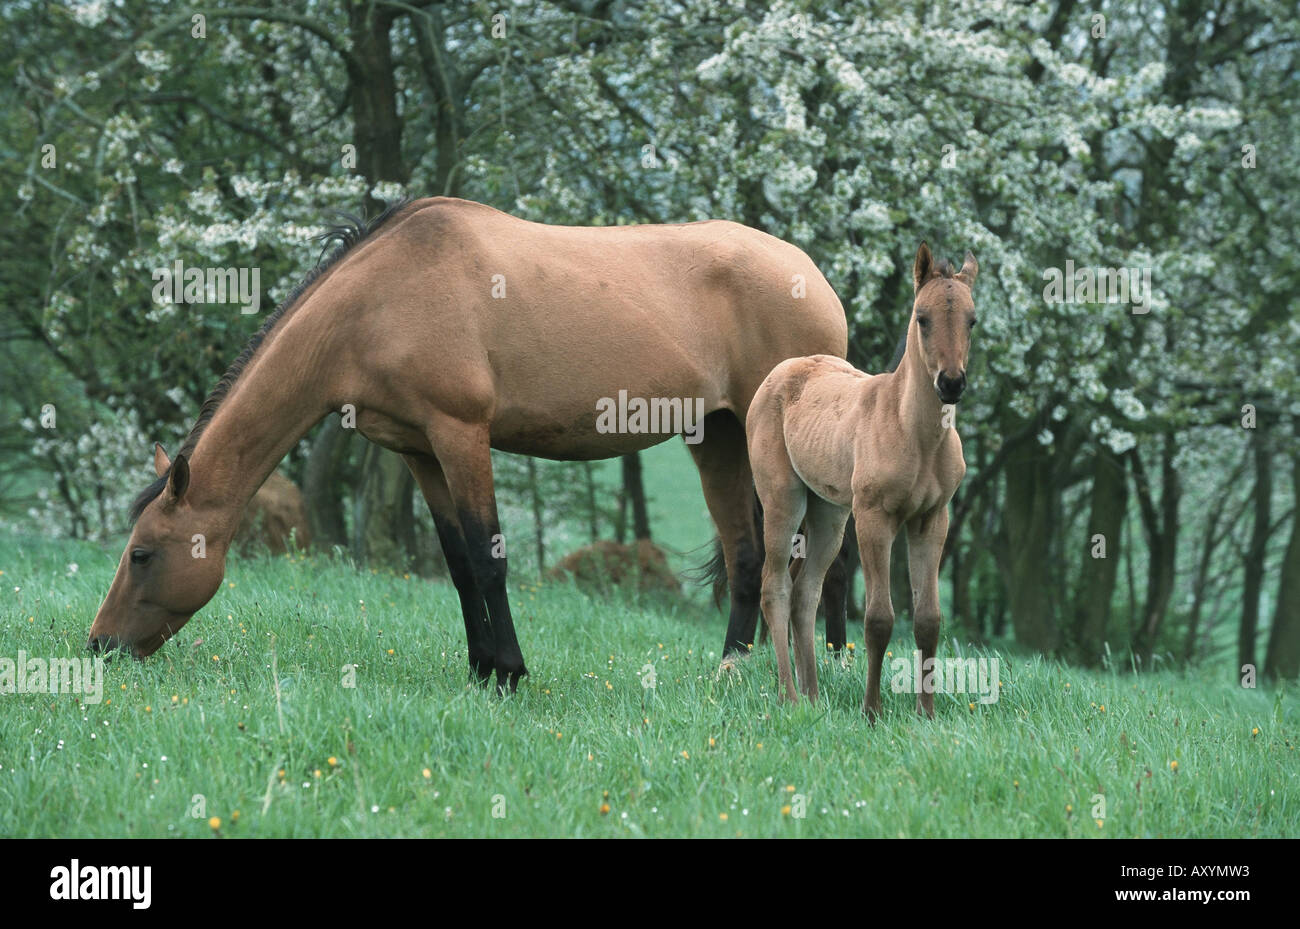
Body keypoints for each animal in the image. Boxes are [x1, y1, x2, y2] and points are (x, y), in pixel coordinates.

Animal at [86, 197, 848, 692]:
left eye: (141, 553)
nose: (98, 646)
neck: (378, 301)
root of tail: (812, 275)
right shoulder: (420, 451)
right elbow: (457, 563)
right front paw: (481, 667)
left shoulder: (461, 433)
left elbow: (488, 557)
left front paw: (508, 672)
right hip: (714, 437)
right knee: (750, 555)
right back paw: (733, 669)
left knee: (828, 559)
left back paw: (832, 668)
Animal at [745, 242, 976, 718]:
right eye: (922, 318)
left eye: (972, 320)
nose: (951, 383)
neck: (917, 435)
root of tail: (781, 371)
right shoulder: (874, 518)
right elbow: (878, 619)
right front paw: (872, 712)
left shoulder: (932, 520)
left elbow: (928, 619)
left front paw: (926, 715)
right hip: (783, 500)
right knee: (775, 587)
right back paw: (790, 696)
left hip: (830, 514)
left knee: (805, 592)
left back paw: (814, 697)